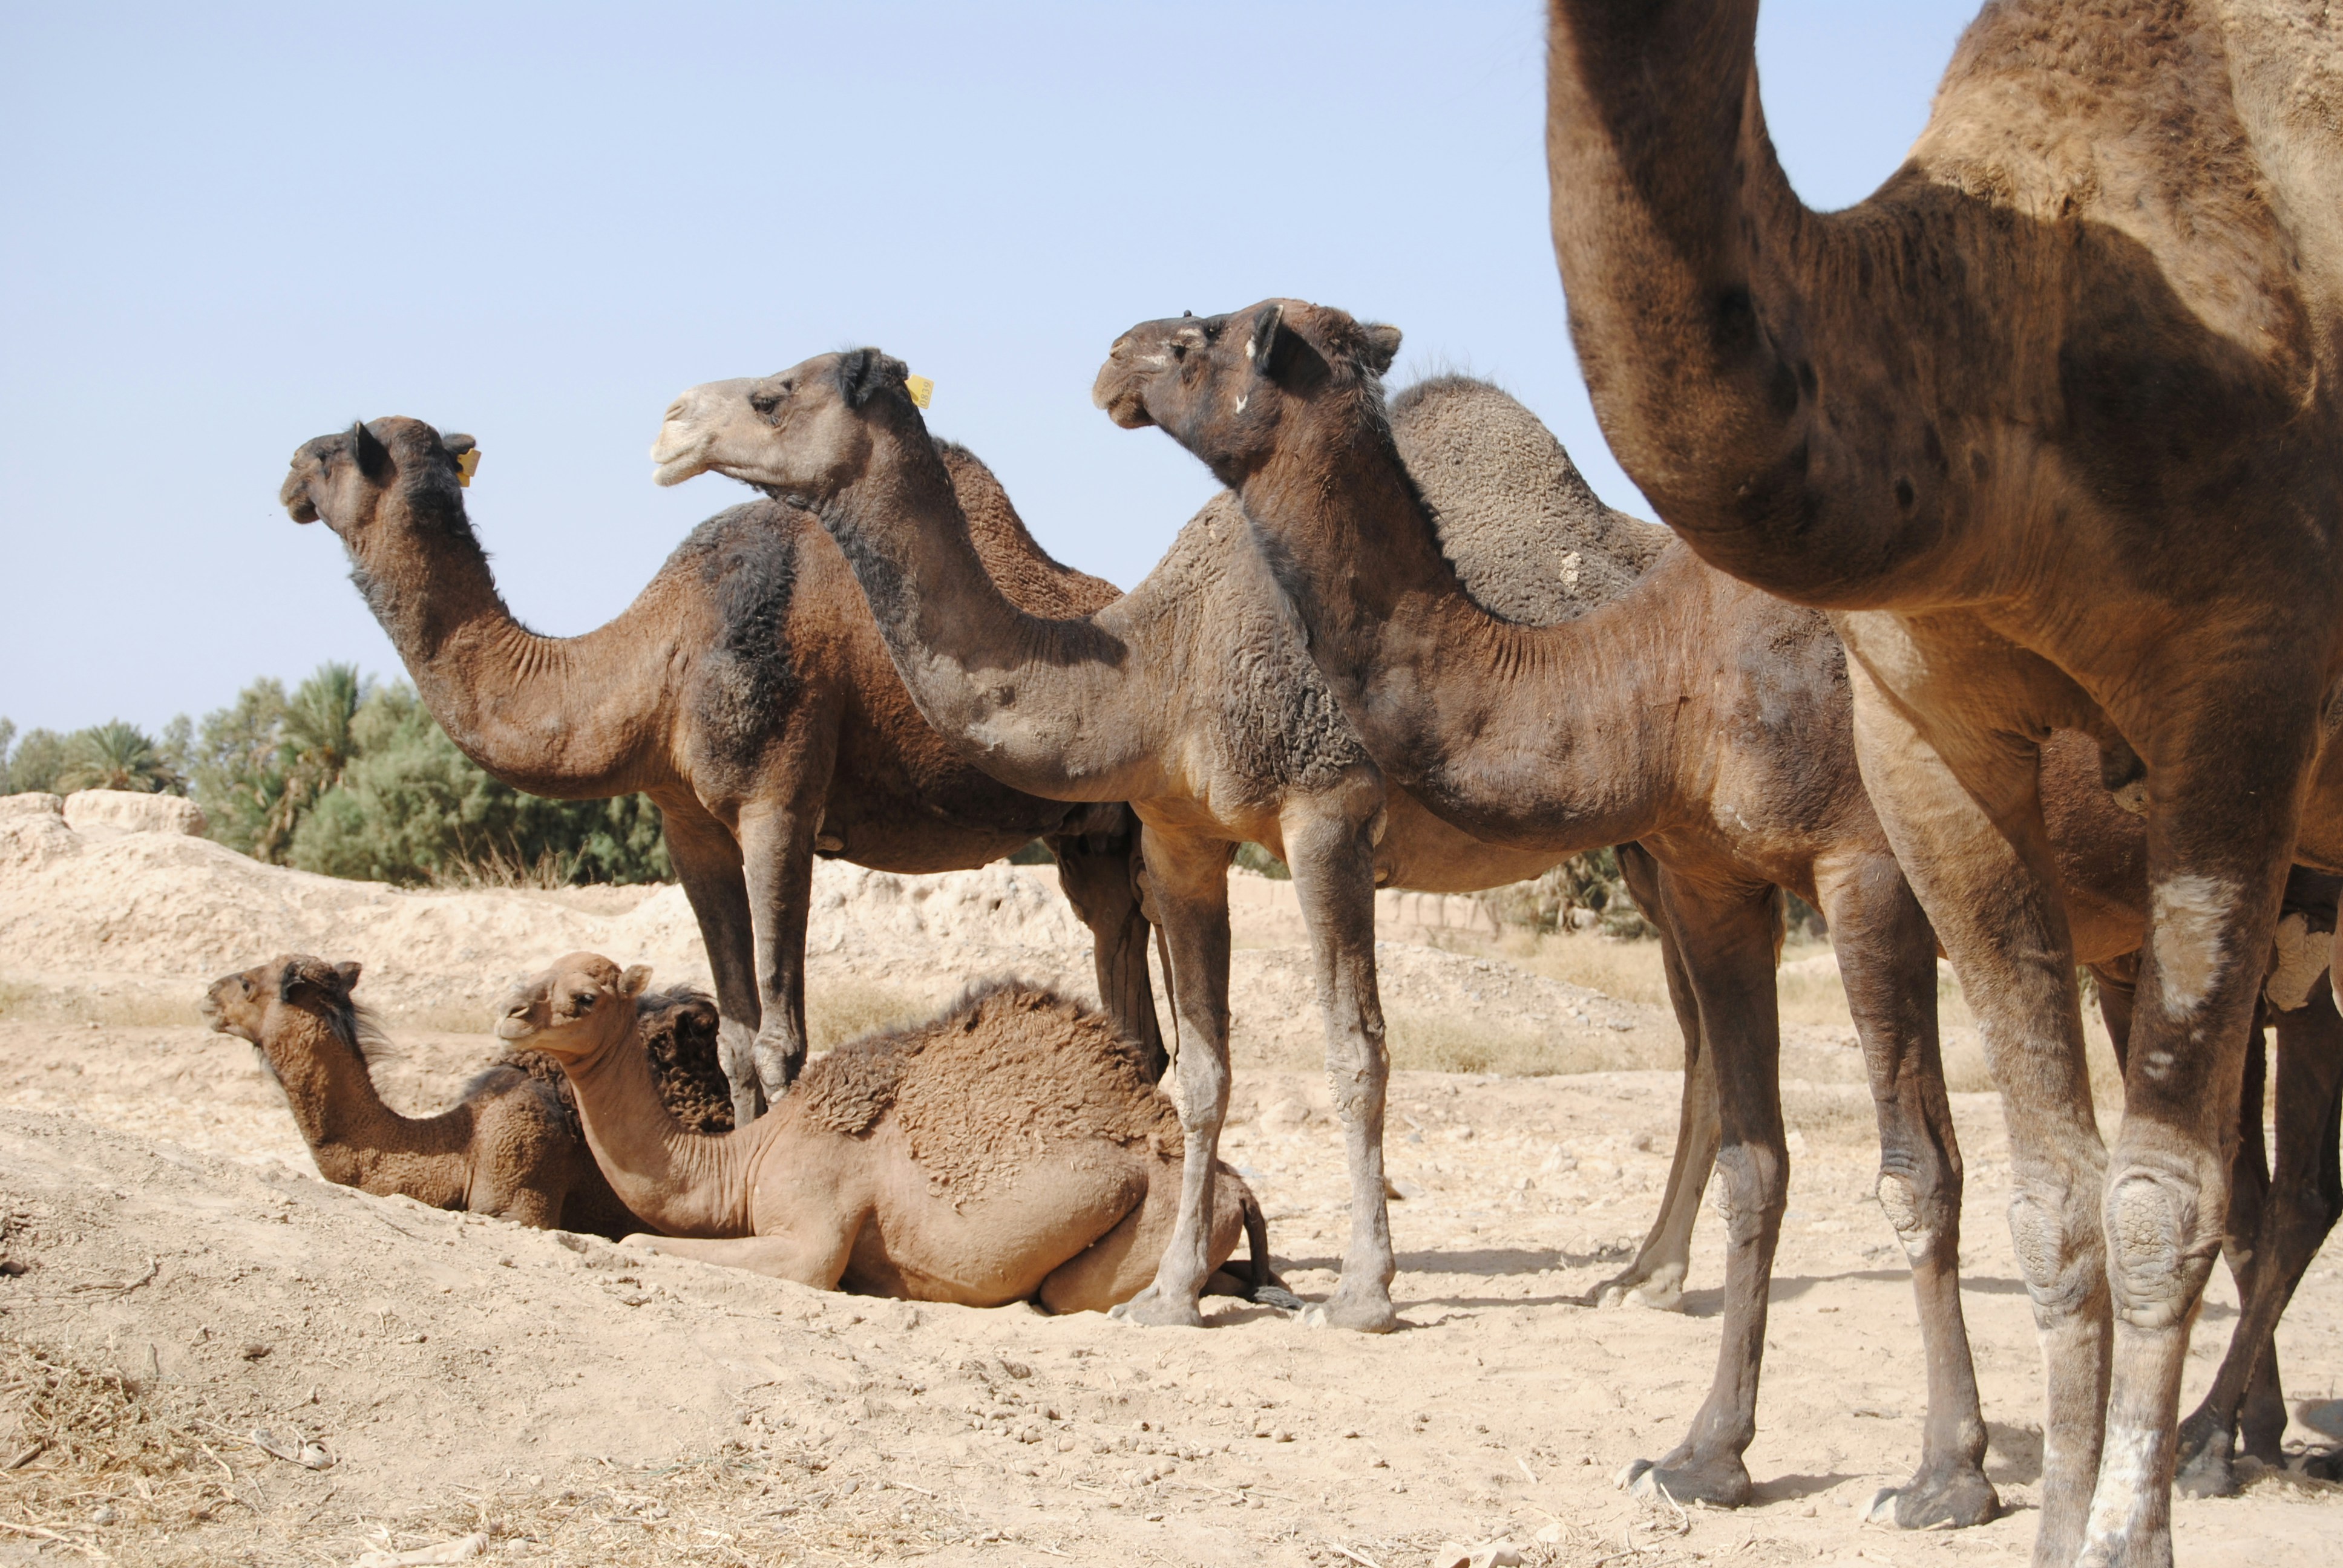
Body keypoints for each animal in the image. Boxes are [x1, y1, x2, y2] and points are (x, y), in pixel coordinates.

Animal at [277, 417, 1160, 1125]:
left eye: (335, 450)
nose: (286, 474)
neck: (661, 655)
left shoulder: (779, 801)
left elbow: (780, 1036)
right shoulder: (687, 824)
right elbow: (734, 1037)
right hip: (1091, 838)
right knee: (1131, 995)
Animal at [493, 951, 1287, 1311]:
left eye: (583, 996)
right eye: (538, 973)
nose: (508, 1011)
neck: (746, 1157)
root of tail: (1240, 1190)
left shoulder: (811, 1228)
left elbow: (641, 1238)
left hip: (1144, 1225)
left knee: (1071, 1293)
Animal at [1090, 300, 2343, 1517]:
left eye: (1200, 336)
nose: (1113, 361)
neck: (1662, 669)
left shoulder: (1865, 868)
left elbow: (1919, 1169)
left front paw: (1948, 1474)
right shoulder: (1713, 878)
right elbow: (1757, 1161)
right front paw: (1705, 1456)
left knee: (2267, 1182)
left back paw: (2208, 1443)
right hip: (2161, 937)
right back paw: (2233, 1434)